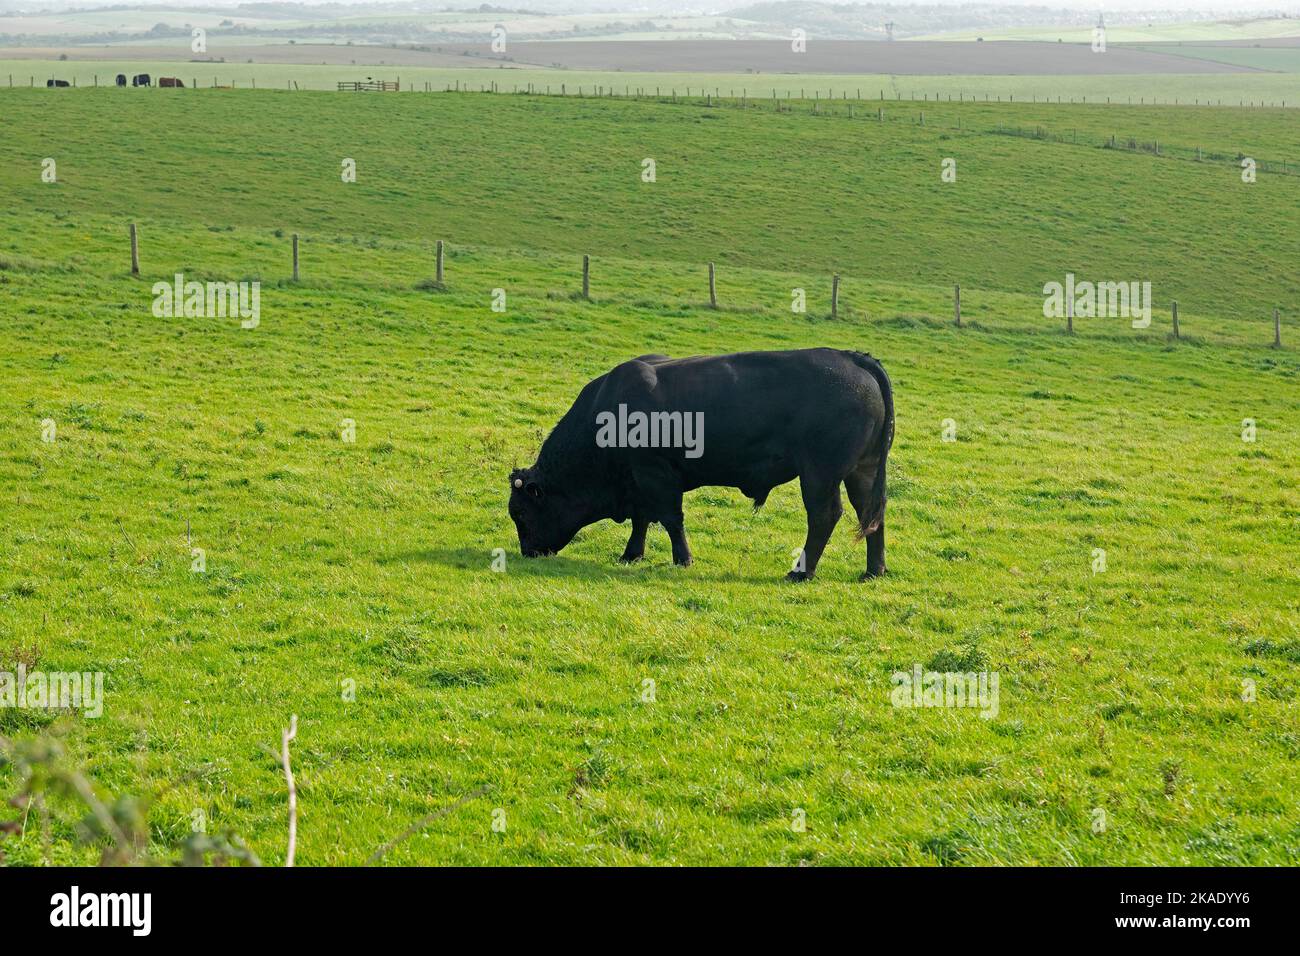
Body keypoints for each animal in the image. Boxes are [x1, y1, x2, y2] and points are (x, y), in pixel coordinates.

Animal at [508, 348, 895, 581]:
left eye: (522, 514)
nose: (528, 553)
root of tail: (853, 358)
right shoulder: (638, 480)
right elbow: (642, 518)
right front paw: (632, 554)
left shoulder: (655, 475)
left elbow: (669, 518)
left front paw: (683, 559)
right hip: (863, 470)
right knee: (870, 514)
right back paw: (873, 570)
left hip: (819, 474)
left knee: (824, 516)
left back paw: (801, 571)